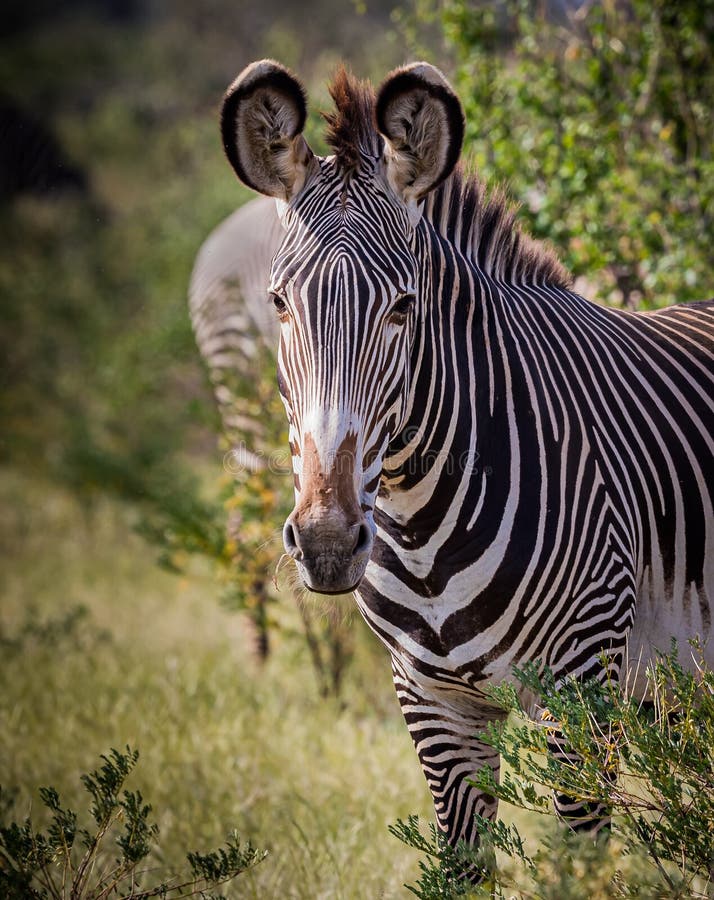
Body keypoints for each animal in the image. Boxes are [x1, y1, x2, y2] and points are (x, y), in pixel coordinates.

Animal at [215, 59, 714, 860]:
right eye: (278, 304)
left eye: (403, 308)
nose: (327, 542)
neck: (423, 532)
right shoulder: (433, 705)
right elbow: (463, 862)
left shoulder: (583, 687)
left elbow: (582, 866)